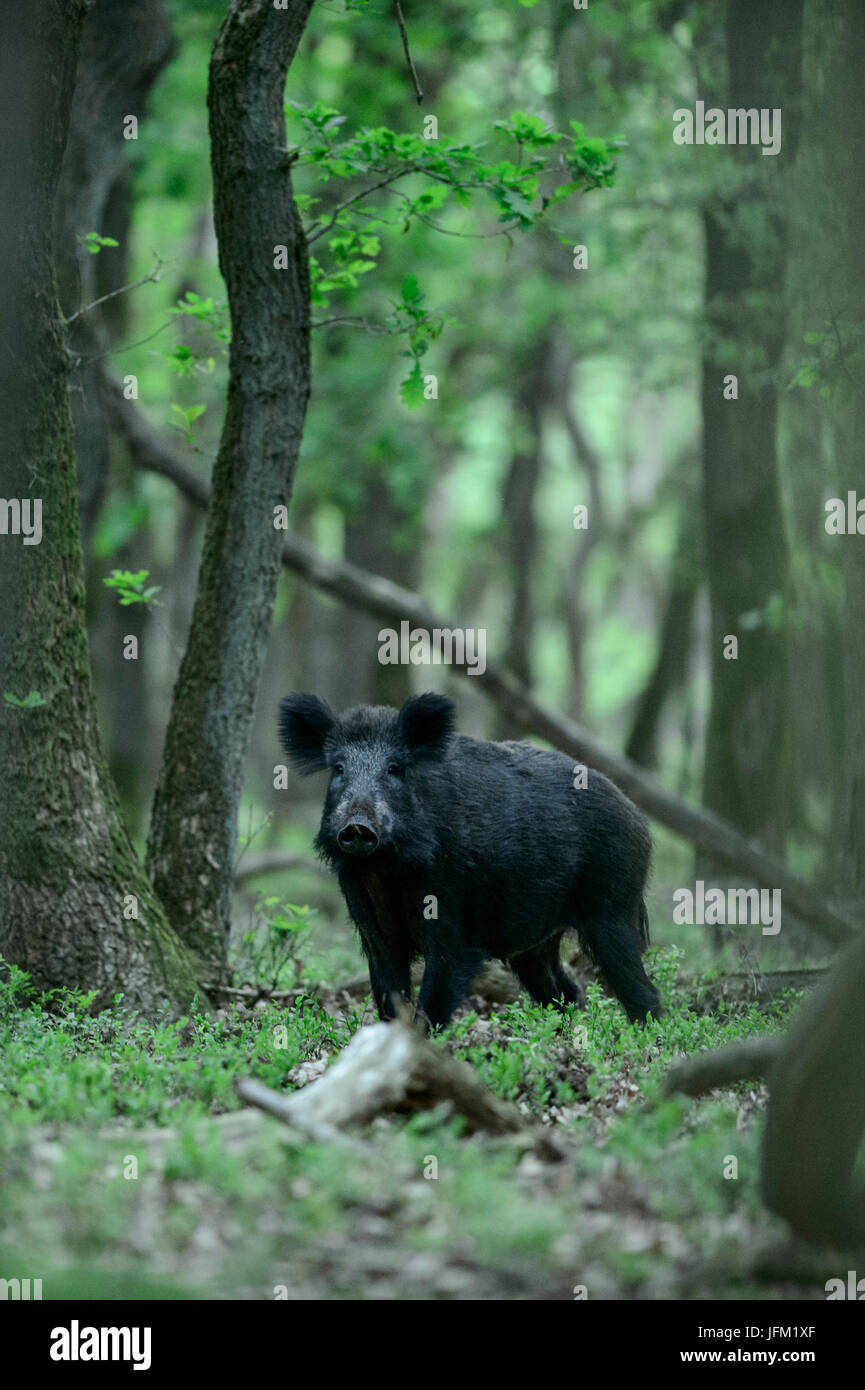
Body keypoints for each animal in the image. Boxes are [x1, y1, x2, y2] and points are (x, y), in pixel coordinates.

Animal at [278, 691, 663, 1029]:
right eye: (338, 768)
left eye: (394, 768)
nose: (357, 825)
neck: (387, 869)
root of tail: (639, 821)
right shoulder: (374, 928)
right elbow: (389, 995)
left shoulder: (453, 920)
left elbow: (434, 999)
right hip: (535, 944)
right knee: (565, 992)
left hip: (612, 907)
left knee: (642, 990)